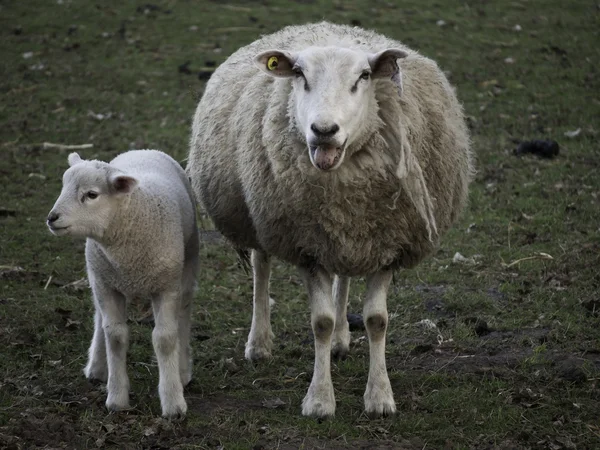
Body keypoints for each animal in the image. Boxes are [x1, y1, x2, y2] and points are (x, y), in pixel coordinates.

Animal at [47, 150, 200, 418]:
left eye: (91, 194)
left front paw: (173, 402)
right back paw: (97, 367)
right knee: (100, 318)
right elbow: (115, 336)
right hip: (99, 274)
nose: (52, 218)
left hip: (187, 264)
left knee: (183, 312)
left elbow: (164, 338)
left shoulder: (166, 287)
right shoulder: (107, 285)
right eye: (63, 187)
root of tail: (143, 150)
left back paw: (182, 372)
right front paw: (117, 397)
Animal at [188, 22, 474, 418]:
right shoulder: (307, 247)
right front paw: (320, 400)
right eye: (299, 74)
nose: (324, 130)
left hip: (346, 237)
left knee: (344, 275)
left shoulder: (387, 244)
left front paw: (379, 396)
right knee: (262, 267)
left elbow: (377, 321)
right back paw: (259, 344)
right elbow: (319, 322)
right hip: (266, 219)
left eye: (364, 76)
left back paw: (341, 340)